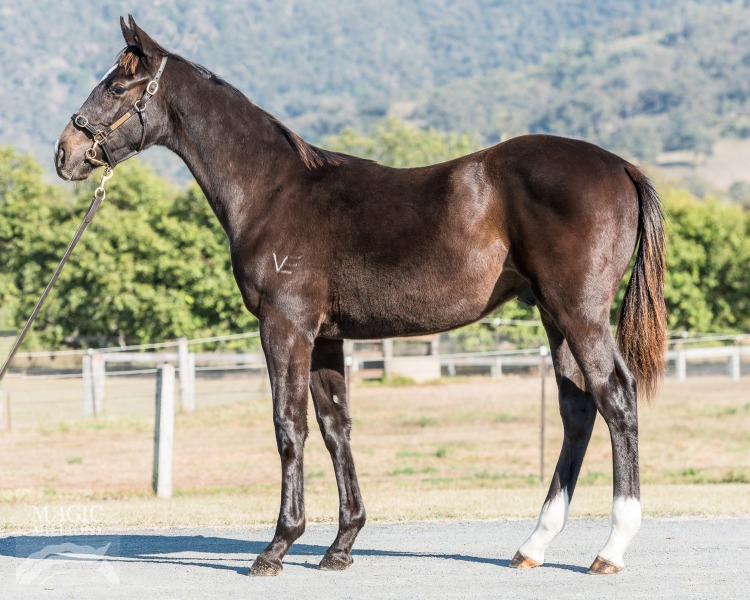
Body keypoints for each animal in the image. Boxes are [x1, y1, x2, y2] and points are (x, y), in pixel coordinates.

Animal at [55, 16, 667, 576]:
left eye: (116, 87)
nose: (66, 153)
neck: (273, 191)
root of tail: (620, 165)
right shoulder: (325, 337)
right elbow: (335, 427)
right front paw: (341, 545)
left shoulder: (285, 327)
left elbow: (289, 427)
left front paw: (277, 547)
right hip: (553, 317)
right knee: (577, 409)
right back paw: (533, 545)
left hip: (580, 314)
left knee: (616, 397)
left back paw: (611, 548)